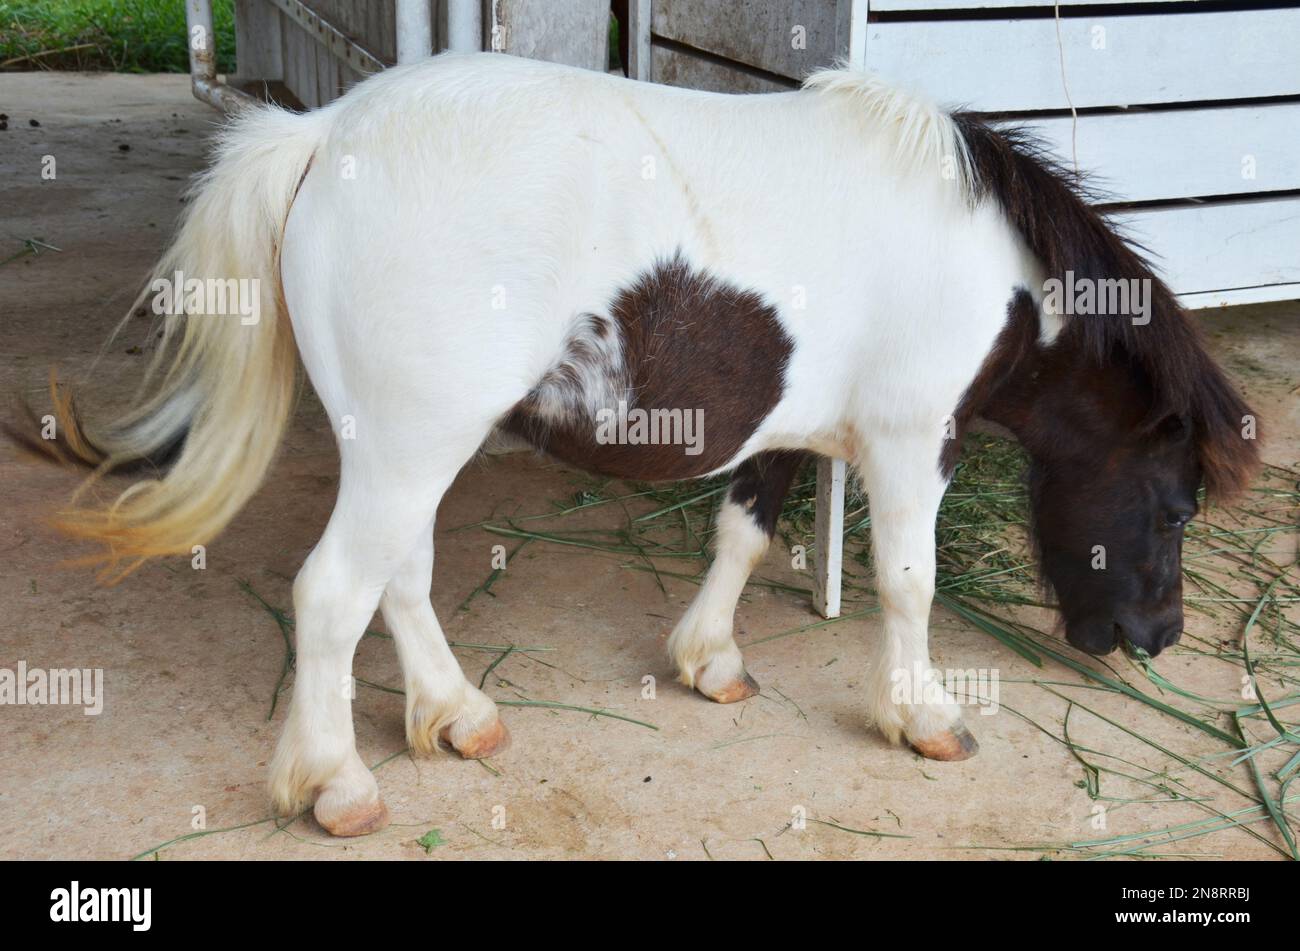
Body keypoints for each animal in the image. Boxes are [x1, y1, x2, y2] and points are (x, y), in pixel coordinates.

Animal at [13, 53, 1259, 837]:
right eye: (1177, 506)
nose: (1155, 638)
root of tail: (323, 135)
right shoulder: (914, 438)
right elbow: (909, 581)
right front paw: (922, 718)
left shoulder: (783, 429)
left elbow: (741, 536)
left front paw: (710, 662)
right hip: (411, 446)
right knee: (331, 595)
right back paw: (337, 785)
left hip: (404, 446)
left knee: (398, 579)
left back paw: (457, 716)